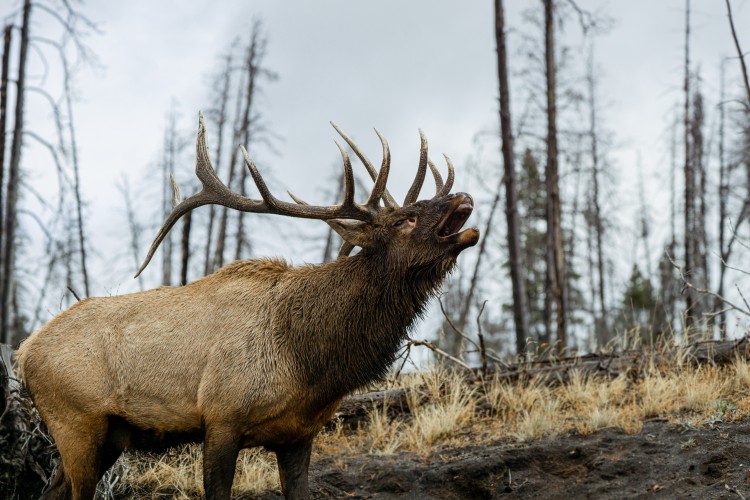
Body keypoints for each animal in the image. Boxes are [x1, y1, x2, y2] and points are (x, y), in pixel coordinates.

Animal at [16, 113, 479, 500]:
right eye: (405, 219)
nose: (463, 197)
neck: (309, 362)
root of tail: (23, 352)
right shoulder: (221, 418)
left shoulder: (299, 435)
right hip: (76, 422)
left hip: (110, 434)